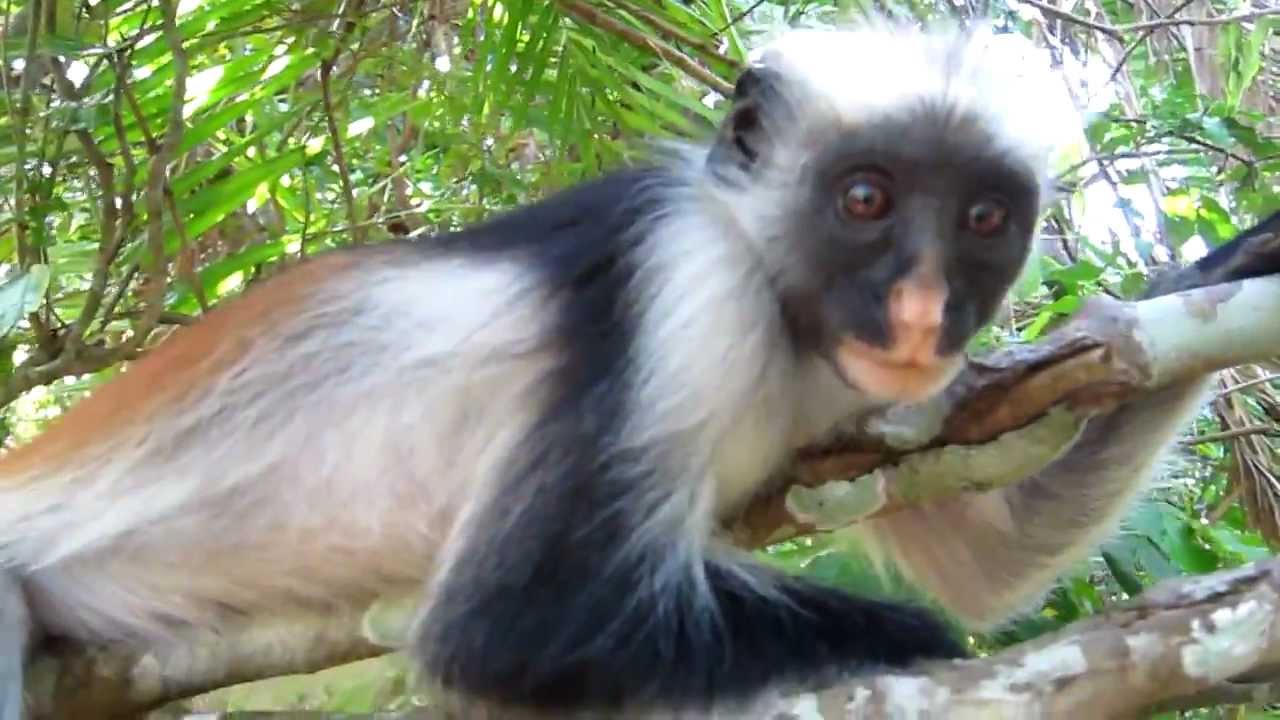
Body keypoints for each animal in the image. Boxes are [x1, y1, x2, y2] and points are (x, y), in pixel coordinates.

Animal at [0, 20, 1278, 719]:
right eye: (864, 199)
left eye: (981, 219)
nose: (920, 312)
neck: (770, 287)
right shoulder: (684, 288)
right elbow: (504, 625)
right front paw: (915, 645)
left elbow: (984, 560)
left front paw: (1222, 266)